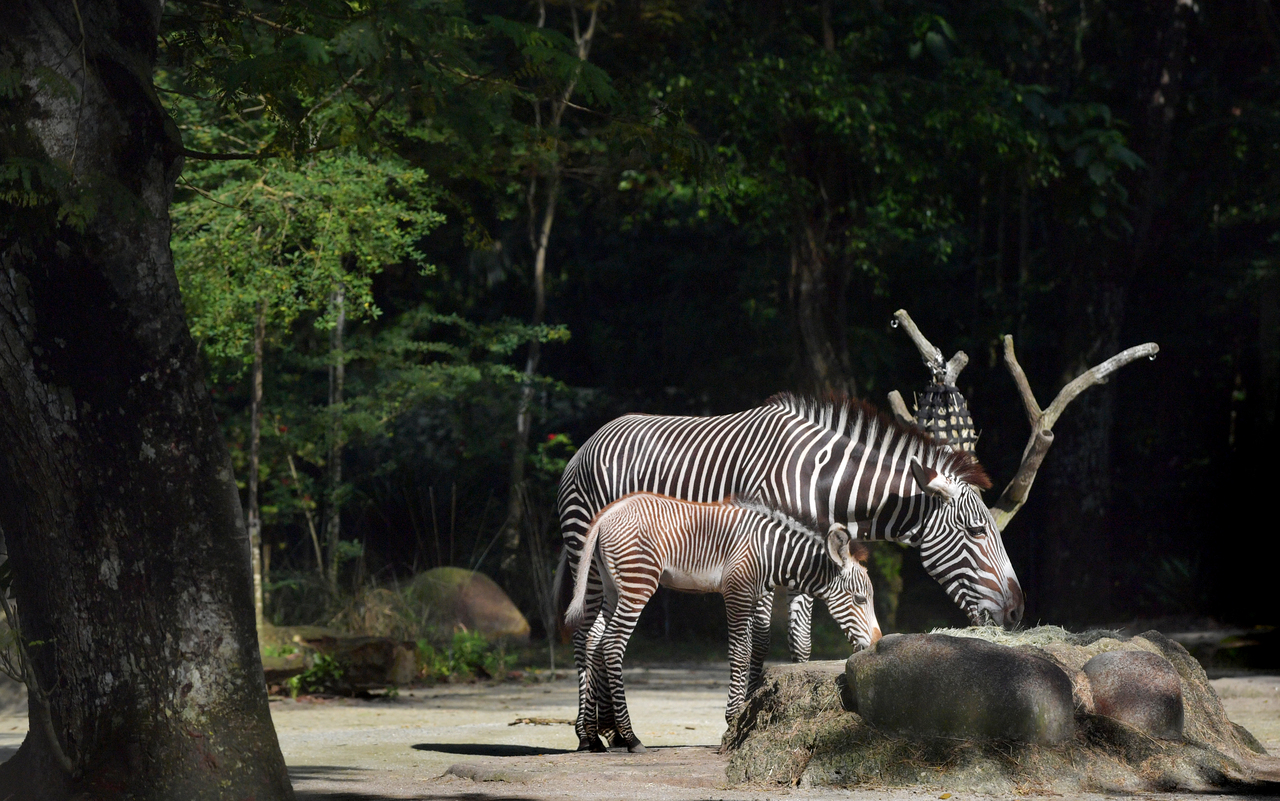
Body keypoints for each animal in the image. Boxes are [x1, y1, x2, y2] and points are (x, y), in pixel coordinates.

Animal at [564, 492, 879, 753]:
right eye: (860, 599)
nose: (876, 644)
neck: (770, 551)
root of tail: (607, 514)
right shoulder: (736, 592)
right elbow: (739, 654)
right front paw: (733, 717)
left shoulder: (751, 596)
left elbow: (751, 650)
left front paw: (742, 712)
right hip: (637, 583)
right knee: (612, 643)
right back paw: (630, 738)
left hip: (612, 587)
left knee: (593, 639)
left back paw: (592, 738)